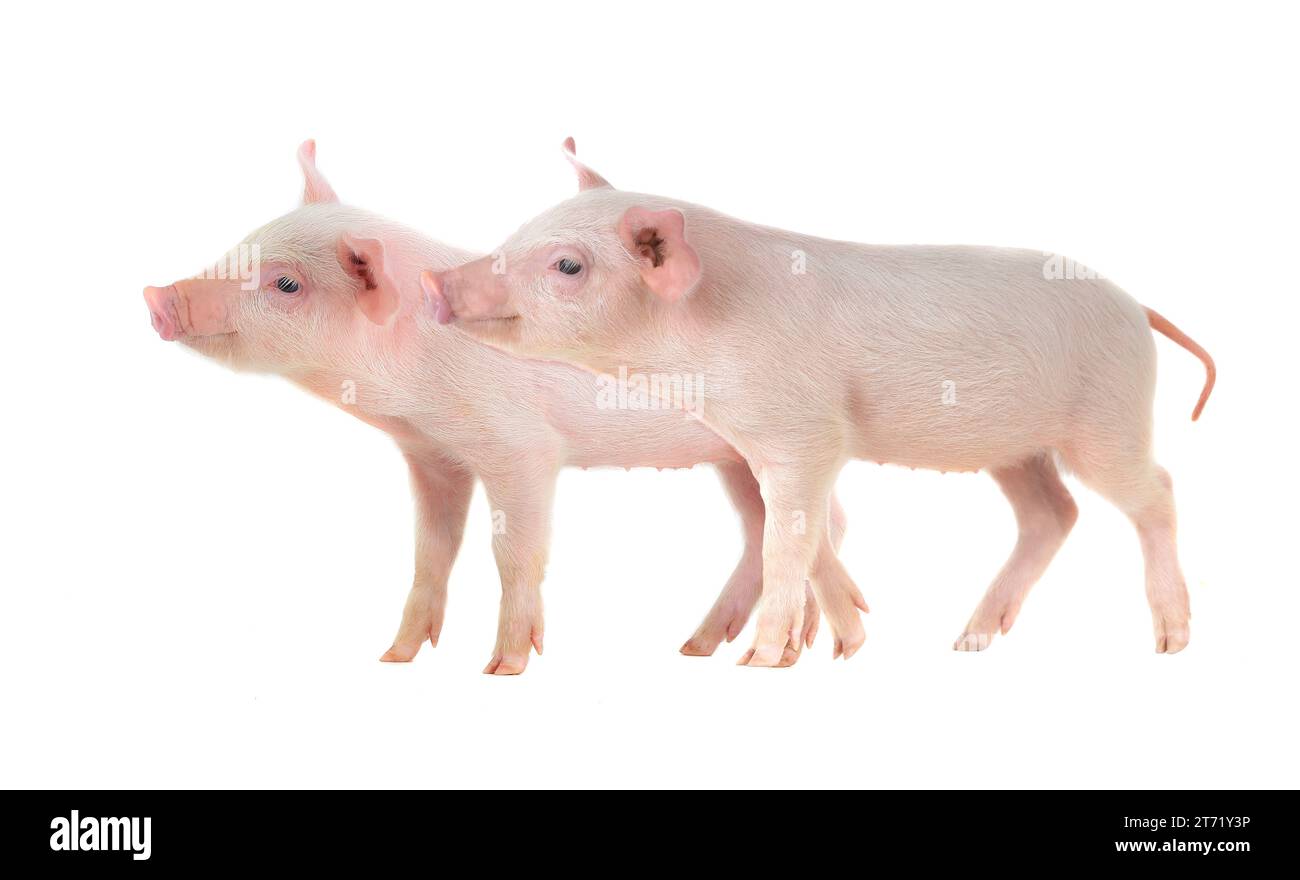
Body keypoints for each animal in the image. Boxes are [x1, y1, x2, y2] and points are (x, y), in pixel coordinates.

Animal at [143, 141, 863, 674]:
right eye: (242, 245)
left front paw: (502, 667)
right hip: (738, 454)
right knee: (794, 525)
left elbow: (514, 550)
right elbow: (431, 552)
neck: (405, 386)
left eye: (286, 284)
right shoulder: (432, 455)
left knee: (807, 524)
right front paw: (394, 657)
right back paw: (718, 648)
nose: (156, 296)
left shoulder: (521, 446)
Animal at [422, 138, 1216, 665]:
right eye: (515, 234)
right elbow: (812, 534)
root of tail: (1140, 307)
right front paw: (844, 644)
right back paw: (966, 642)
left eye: (567, 265)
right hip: (1016, 448)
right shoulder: (769, 442)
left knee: (1158, 491)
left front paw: (759, 661)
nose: (434, 284)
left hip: (1109, 419)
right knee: (1054, 513)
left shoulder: (802, 432)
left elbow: (787, 541)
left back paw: (1170, 642)